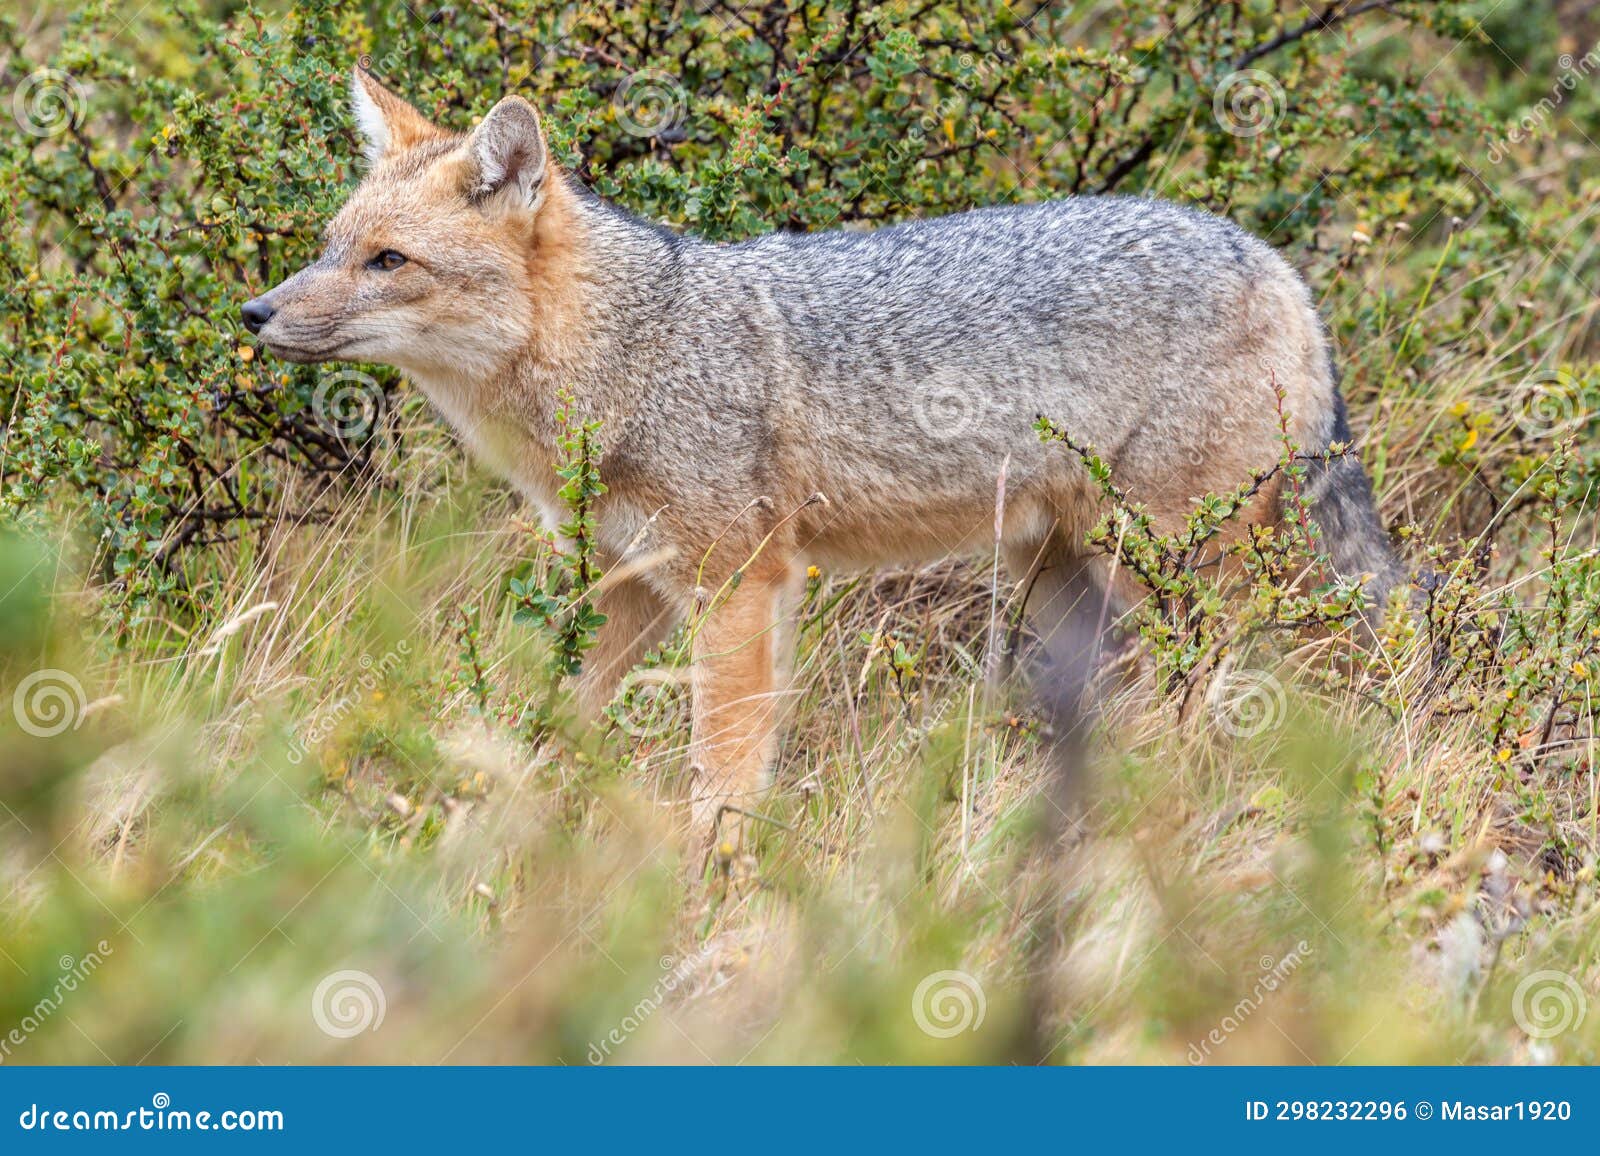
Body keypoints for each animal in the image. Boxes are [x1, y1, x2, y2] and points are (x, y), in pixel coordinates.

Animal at [242, 68, 1405, 840]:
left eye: (388, 262)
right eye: (330, 246)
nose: (254, 313)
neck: (629, 351)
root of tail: (1269, 258)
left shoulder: (741, 584)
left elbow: (722, 761)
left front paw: (711, 874)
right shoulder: (633, 587)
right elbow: (549, 719)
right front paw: (491, 816)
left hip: (1163, 572)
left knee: (1232, 693)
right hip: (1062, 579)